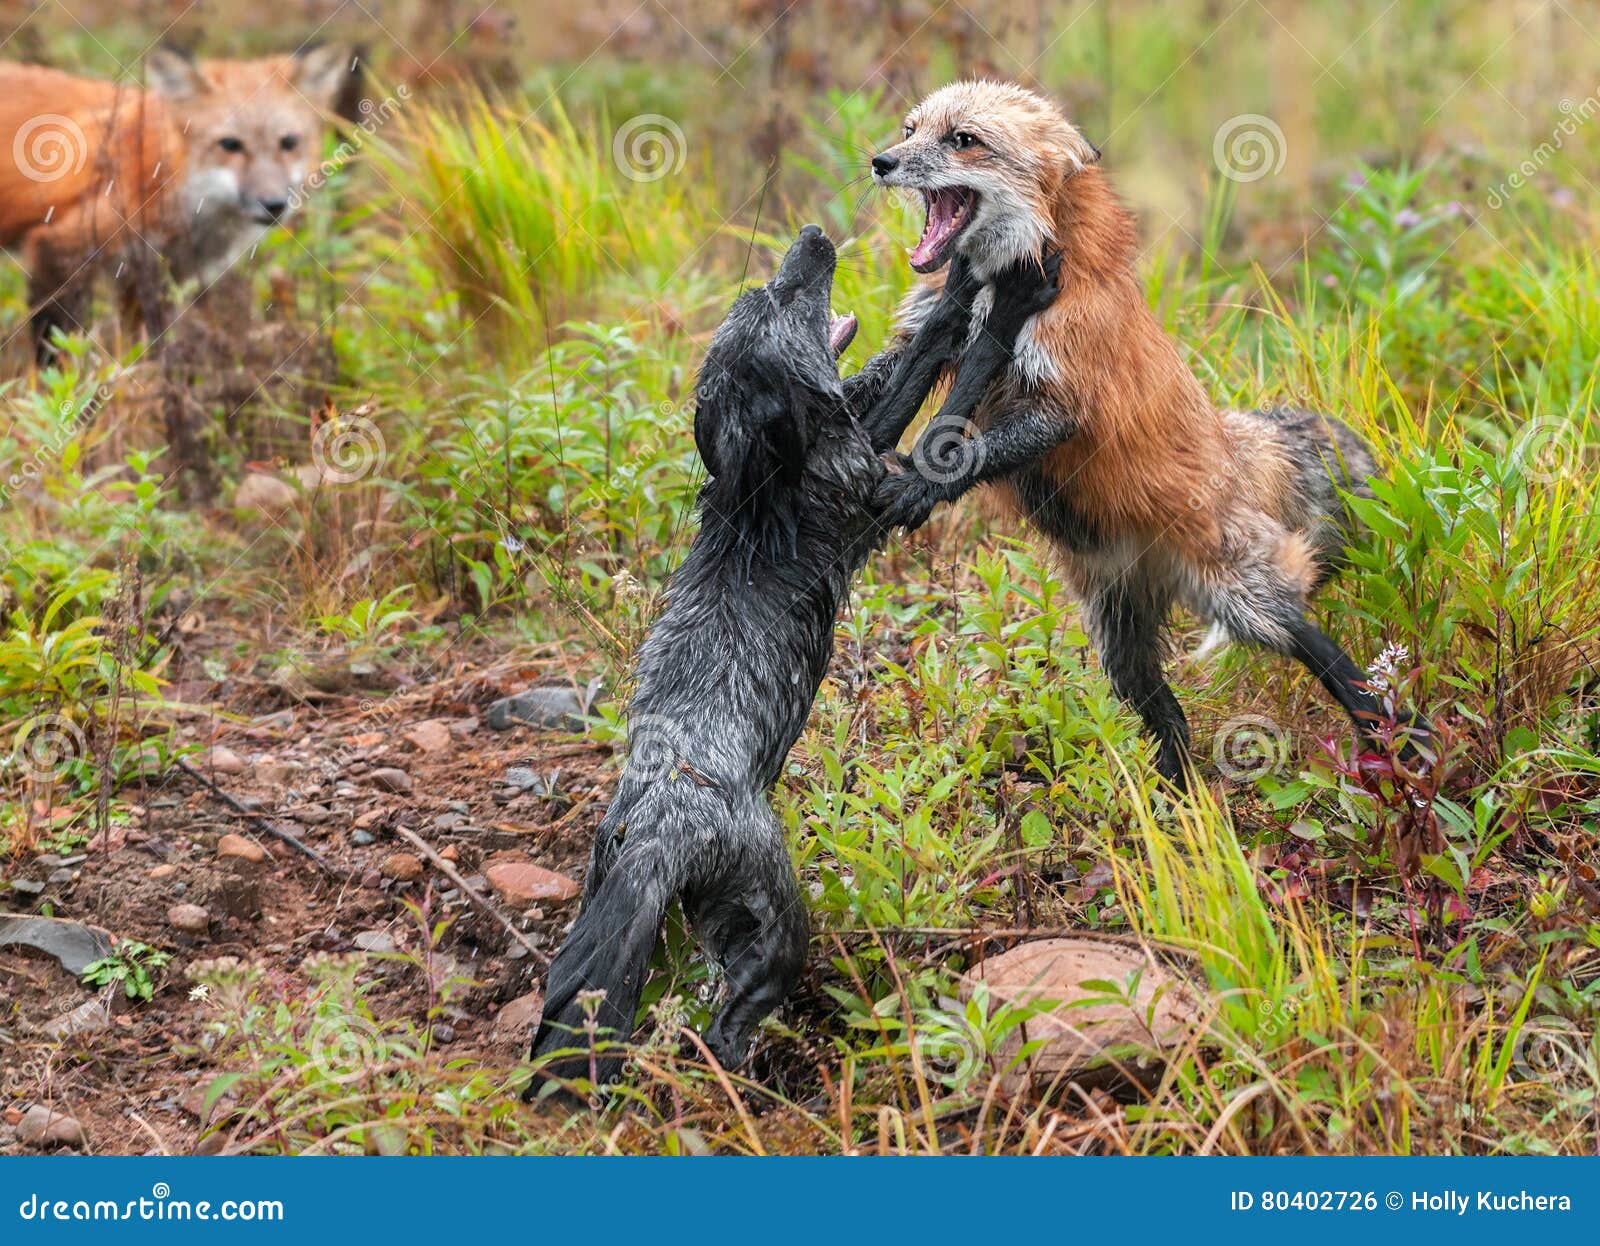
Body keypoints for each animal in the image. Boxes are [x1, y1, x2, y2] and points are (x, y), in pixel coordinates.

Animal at [0, 43, 353, 360]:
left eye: (288, 142)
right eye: (230, 144)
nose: (275, 204)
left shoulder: (152, 278)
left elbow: (147, 349)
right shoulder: (58, 250)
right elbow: (56, 353)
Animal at [869, 79, 1425, 785]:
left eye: (962, 140)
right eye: (911, 129)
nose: (881, 161)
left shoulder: (1063, 399)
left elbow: (965, 451)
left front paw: (915, 487)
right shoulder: (921, 336)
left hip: (1252, 605)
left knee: (1347, 675)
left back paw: (1413, 757)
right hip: (1121, 642)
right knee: (1170, 721)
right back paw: (1176, 803)